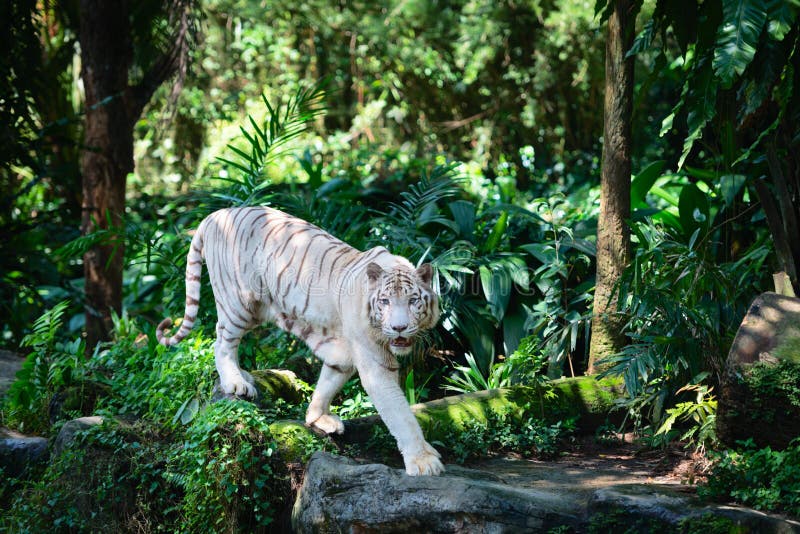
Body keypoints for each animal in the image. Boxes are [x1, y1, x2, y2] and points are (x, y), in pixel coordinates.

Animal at [156, 206, 444, 476]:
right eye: (384, 301)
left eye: (413, 301)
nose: (399, 328)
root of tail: (213, 215)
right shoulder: (375, 364)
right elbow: (401, 415)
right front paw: (424, 461)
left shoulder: (342, 352)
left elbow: (328, 382)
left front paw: (317, 418)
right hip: (238, 302)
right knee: (221, 342)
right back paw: (236, 383)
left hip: (255, 310)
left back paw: (244, 376)